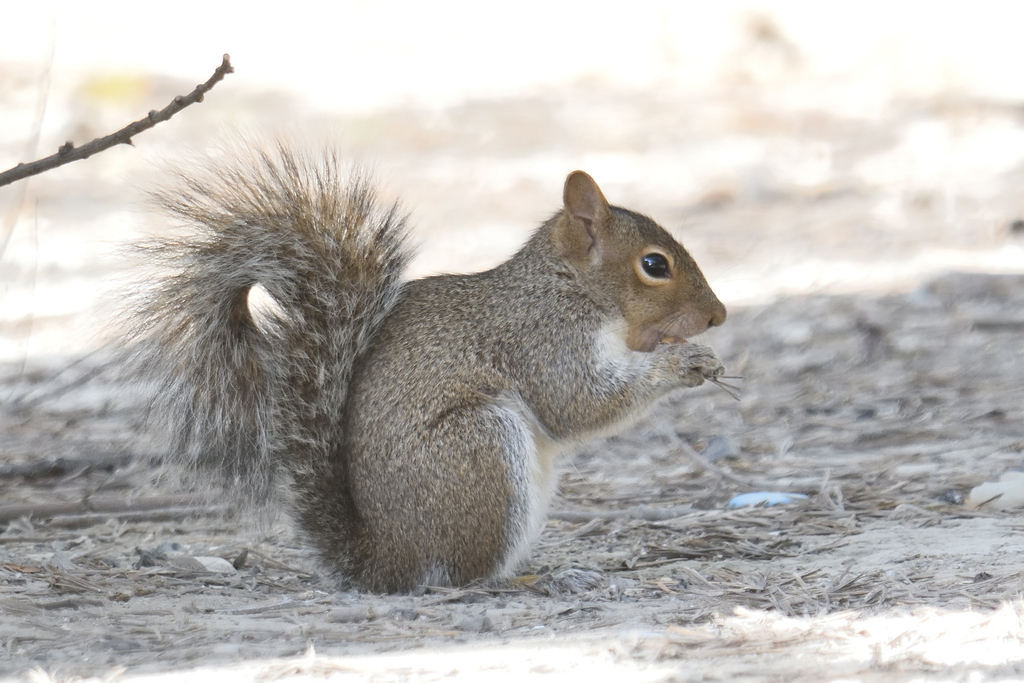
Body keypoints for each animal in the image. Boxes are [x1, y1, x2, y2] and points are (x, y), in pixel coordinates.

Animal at [122, 142, 727, 593]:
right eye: (654, 265)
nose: (718, 316)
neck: (570, 289)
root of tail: (389, 557)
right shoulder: (541, 341)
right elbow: (575, 405)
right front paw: (678, 363)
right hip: (480, 446)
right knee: (460, 575)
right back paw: (525, 581)